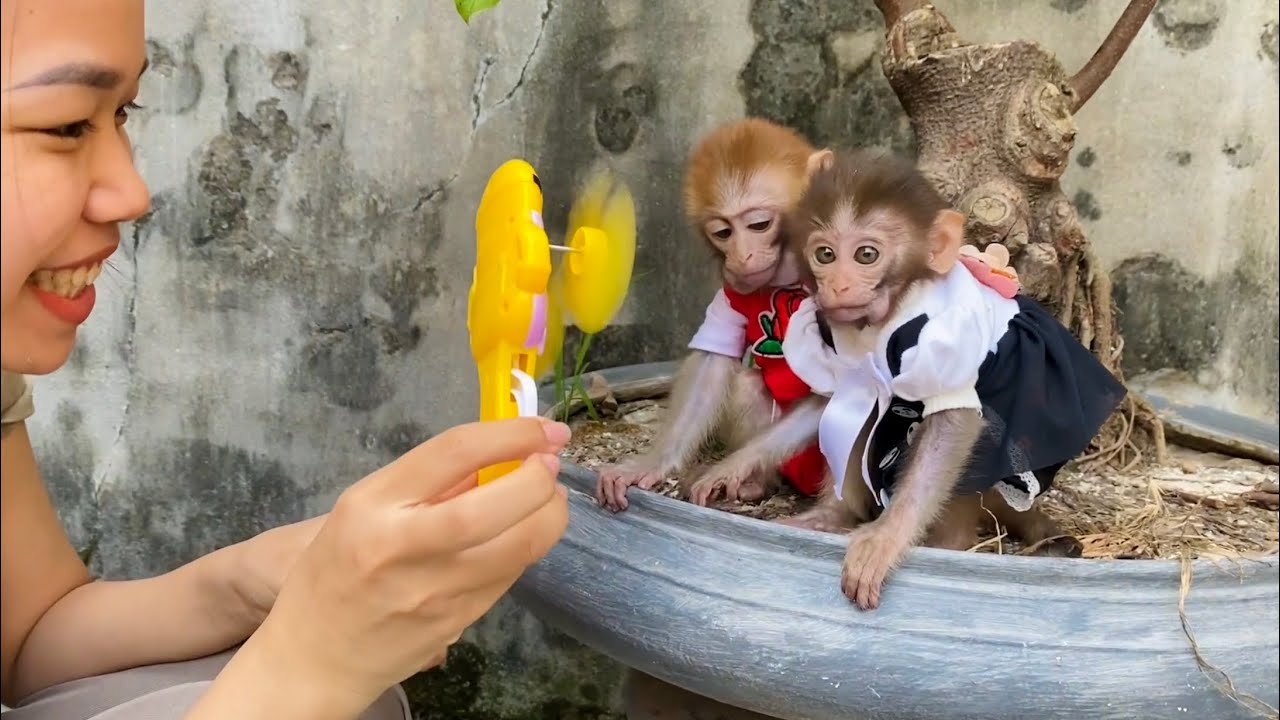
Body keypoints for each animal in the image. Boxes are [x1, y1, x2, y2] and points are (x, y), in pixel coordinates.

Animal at [594, 118, 834, 513]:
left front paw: (728, 467)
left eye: (759, 225)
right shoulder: (730, 289)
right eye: (723, 232)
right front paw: (652, 464)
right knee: (747, 384)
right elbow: (712, 360)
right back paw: (758, 484)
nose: (742, 257)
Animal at [777, 149, 1127, 610]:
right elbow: (841, 401)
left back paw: (952, 543)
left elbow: (955, 419)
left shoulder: (944, 333)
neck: (894, 307)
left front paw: (887, 538)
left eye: (866, 255)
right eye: (825, 255)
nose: (838, 285)